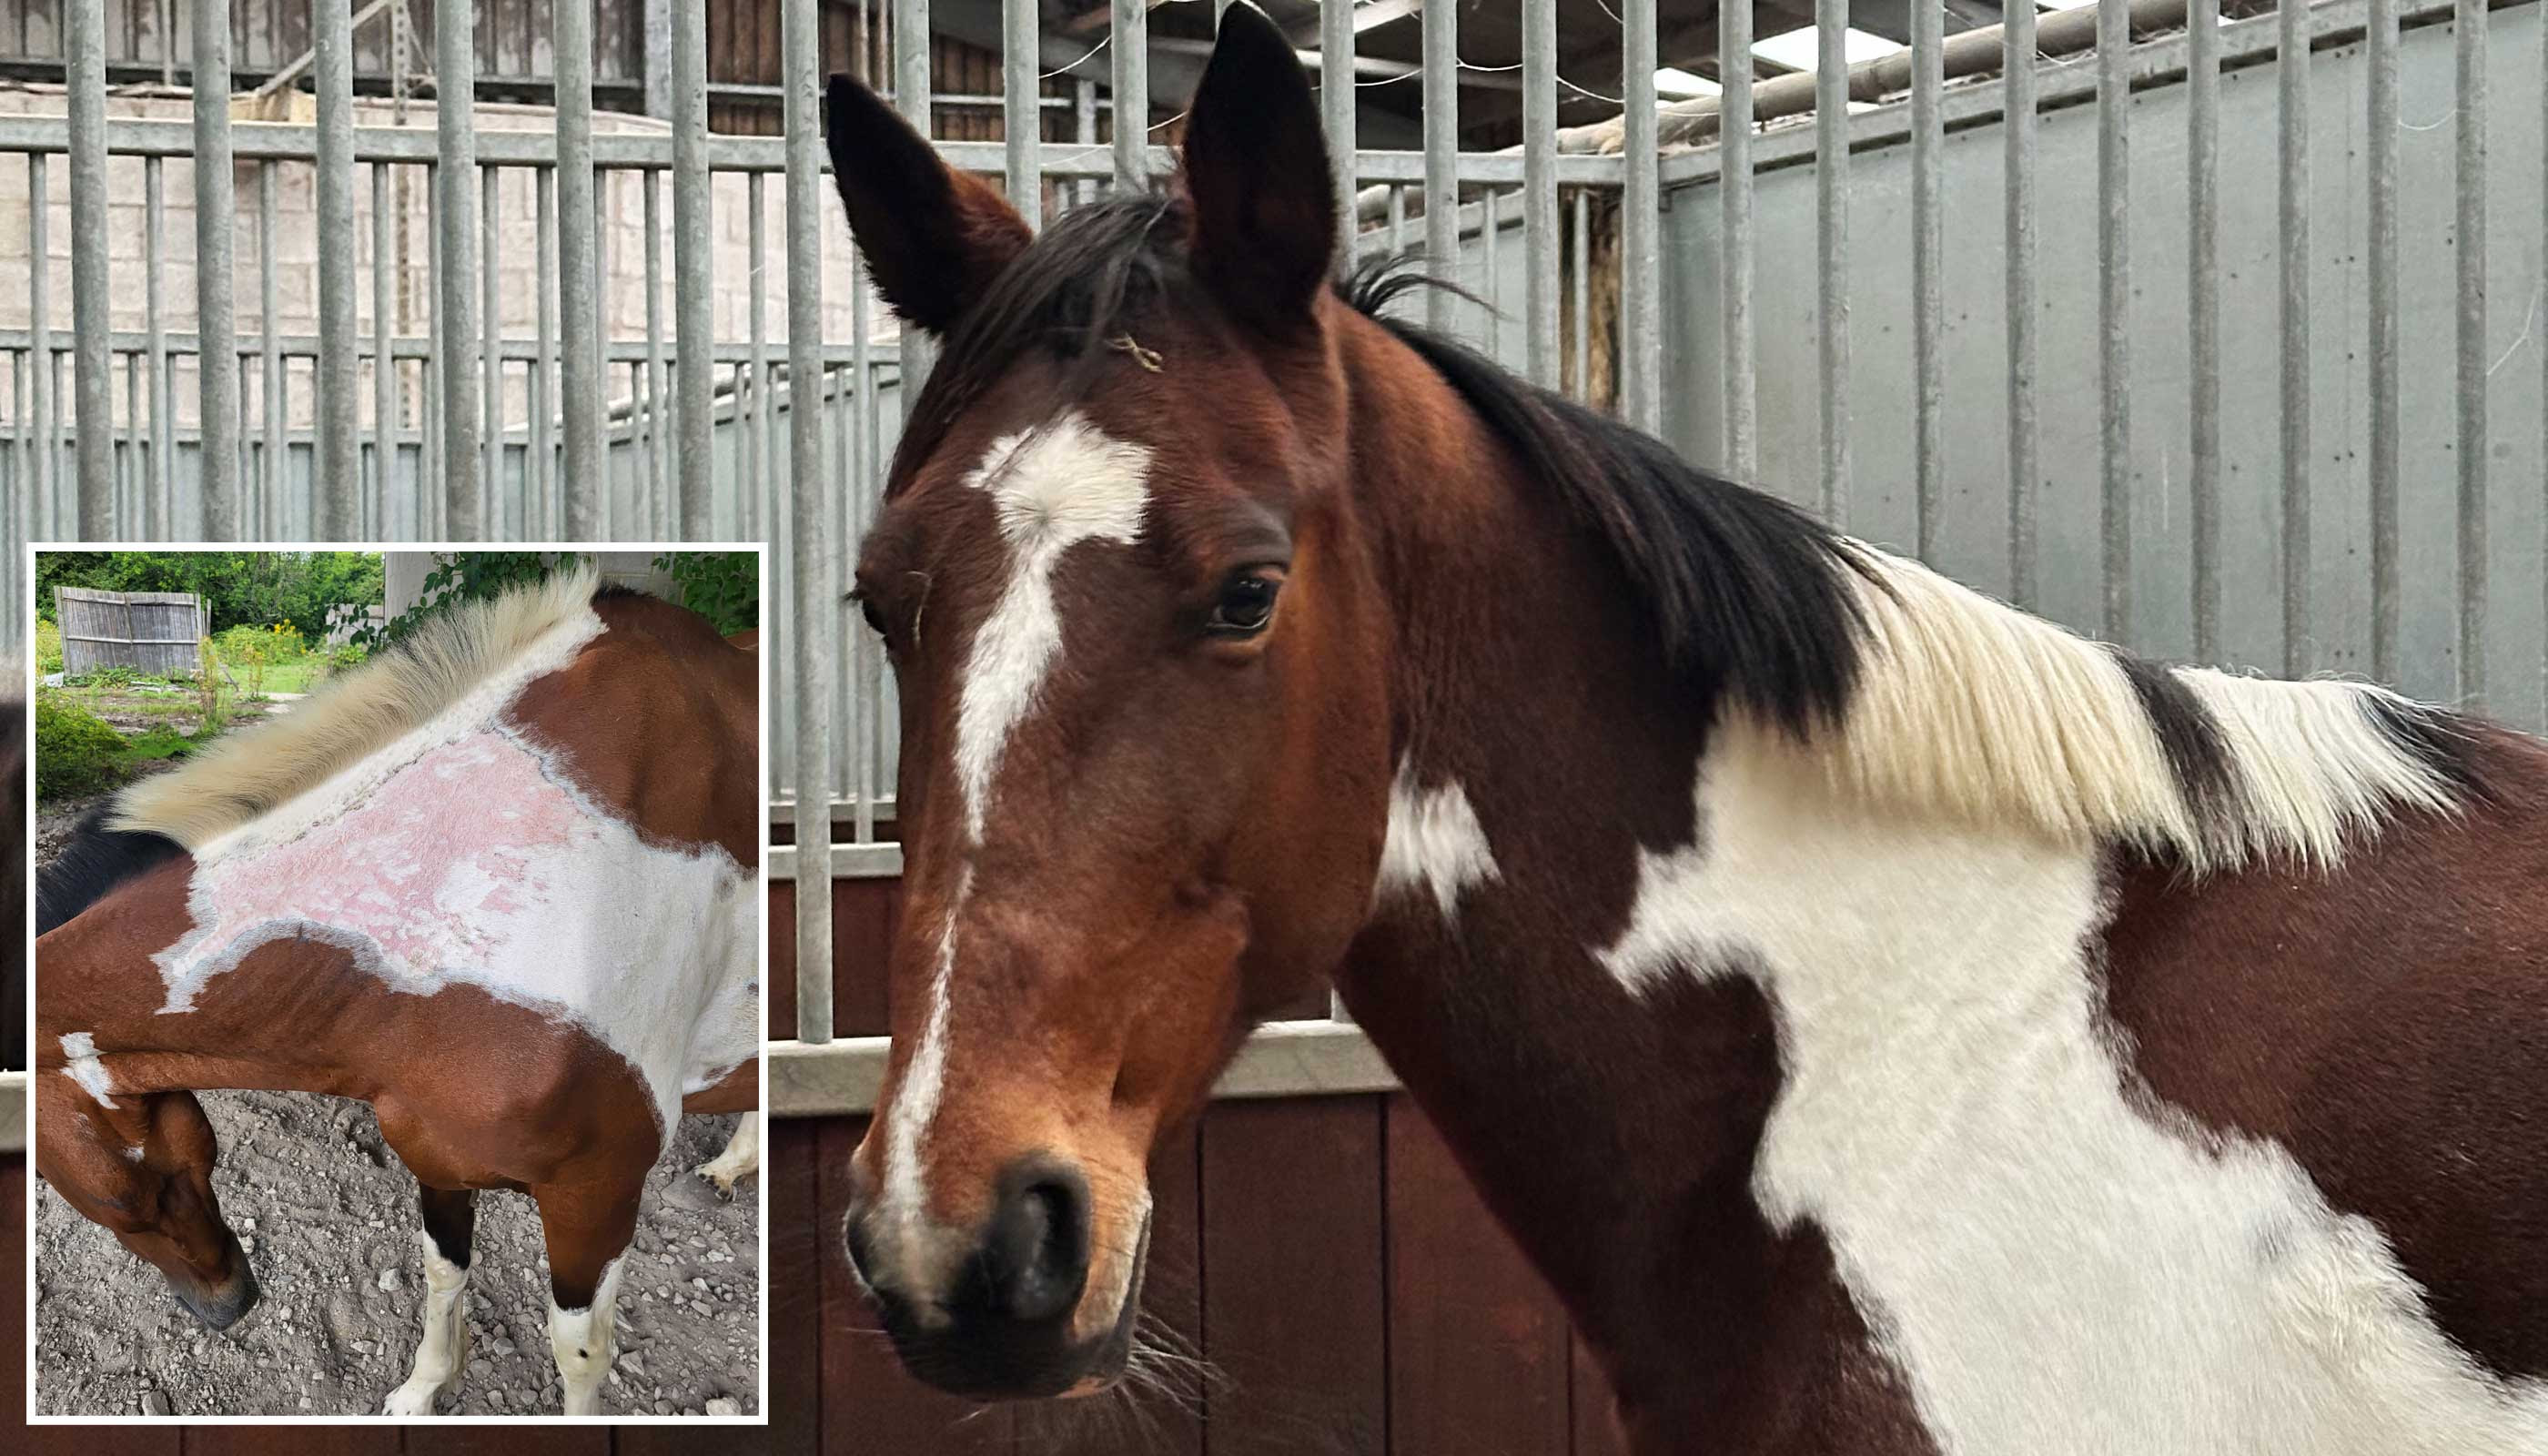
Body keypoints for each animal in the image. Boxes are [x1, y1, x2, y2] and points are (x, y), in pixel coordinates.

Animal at [32, 565, 762, 1417]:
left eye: (114, 1202)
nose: (228, 1305)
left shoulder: (599, 1195)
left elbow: (579, 1354)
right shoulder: (436, 1157)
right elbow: (443, 1273)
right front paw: (422, 1390)